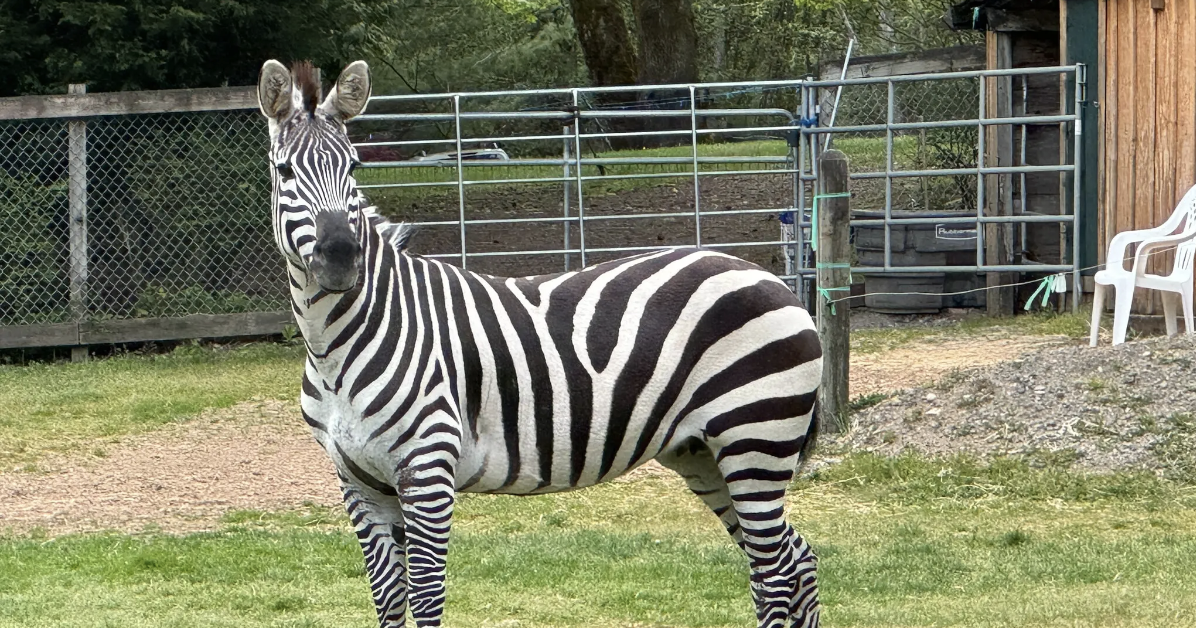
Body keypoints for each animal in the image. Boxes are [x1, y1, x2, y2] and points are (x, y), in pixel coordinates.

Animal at [257, 59, 825, 628]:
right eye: (283, 172)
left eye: (353, 167)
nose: (340, 259)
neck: (335, 350)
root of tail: (770, 278)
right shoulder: (358, 481)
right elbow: (388, 599)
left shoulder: (427, 466)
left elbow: (425, 596)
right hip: (702, 451)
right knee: (796, 558)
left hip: (754, 436)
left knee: (775, 573)